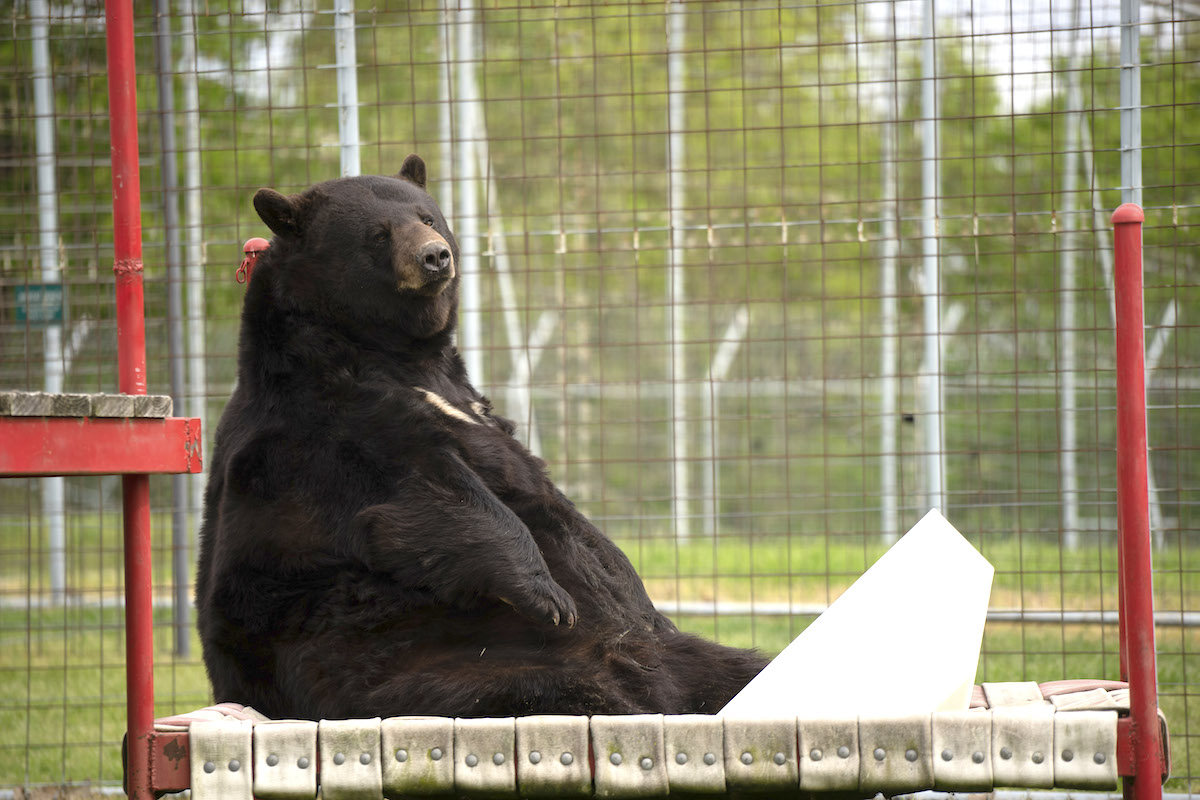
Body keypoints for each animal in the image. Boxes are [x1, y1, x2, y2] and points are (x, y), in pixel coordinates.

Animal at [194, 155, 767, 720]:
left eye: (427, 216)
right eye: (377, 234)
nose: (435, 256)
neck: (396, 355)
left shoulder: (474, 407)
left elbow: (562, 510)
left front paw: (646, 603)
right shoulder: (321, 425)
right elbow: (428, 493)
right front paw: (549, 595)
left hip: (682, 657)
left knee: (734, 663)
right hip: (420, 662)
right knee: (561, 687)